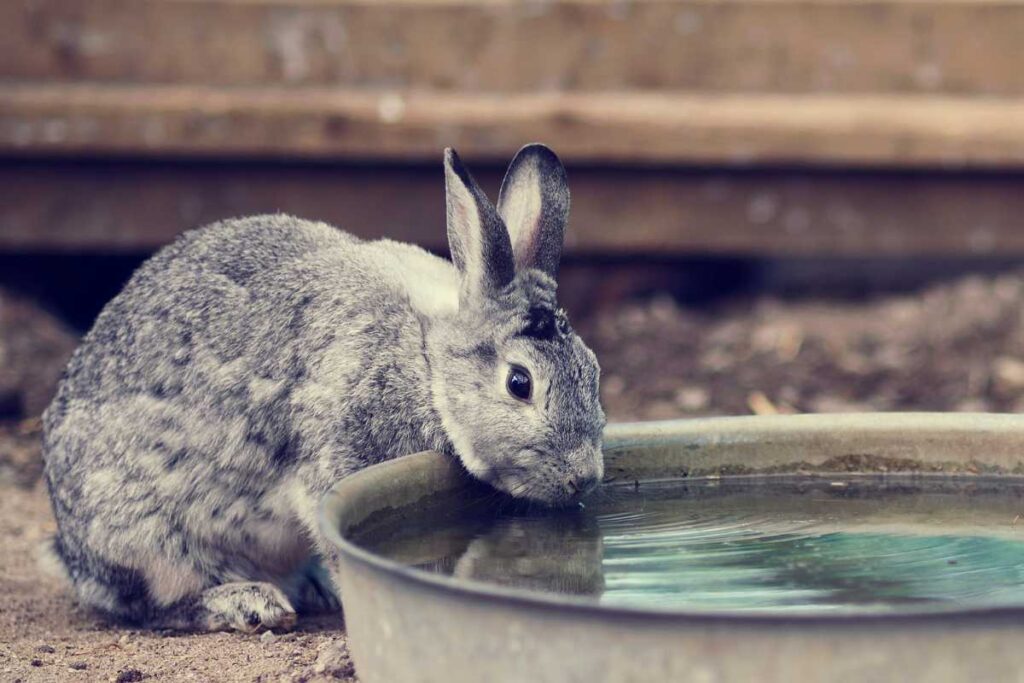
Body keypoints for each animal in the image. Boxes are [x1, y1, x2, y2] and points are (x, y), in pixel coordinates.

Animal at [42, 143, 606, 633]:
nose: (584, 478)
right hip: (145, 534)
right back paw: (247, 603)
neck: (427, 361)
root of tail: (71, 551)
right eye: (519, 383)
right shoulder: (333, 461)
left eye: (593, 369)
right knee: (152, 603)